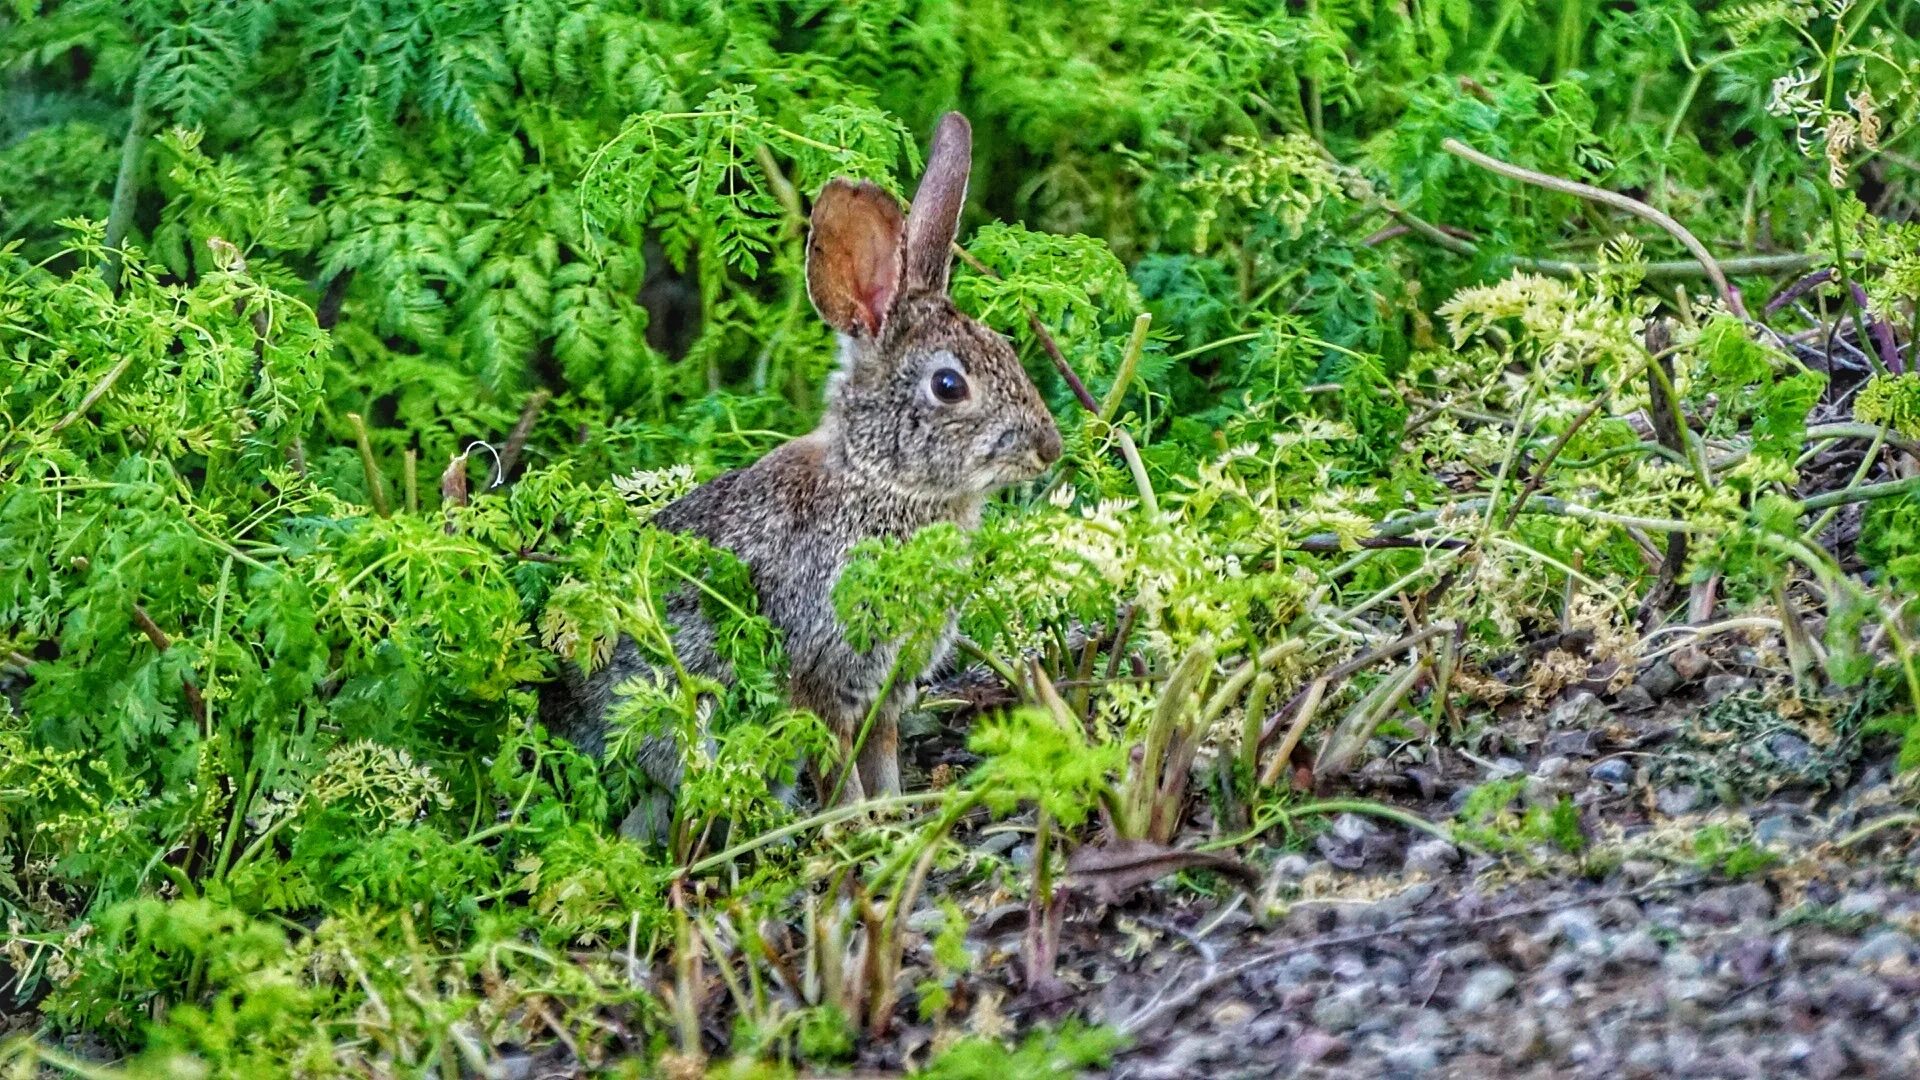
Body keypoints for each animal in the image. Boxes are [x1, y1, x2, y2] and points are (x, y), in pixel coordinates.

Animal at [541, 115, 1067, 841]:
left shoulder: (884, 686)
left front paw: (895, 817)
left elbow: (881, 755)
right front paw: (860, 830)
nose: (1049, 447)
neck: (881, 484)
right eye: (949, 385)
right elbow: (836, 763)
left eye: (1008, 349)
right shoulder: (817, 674)